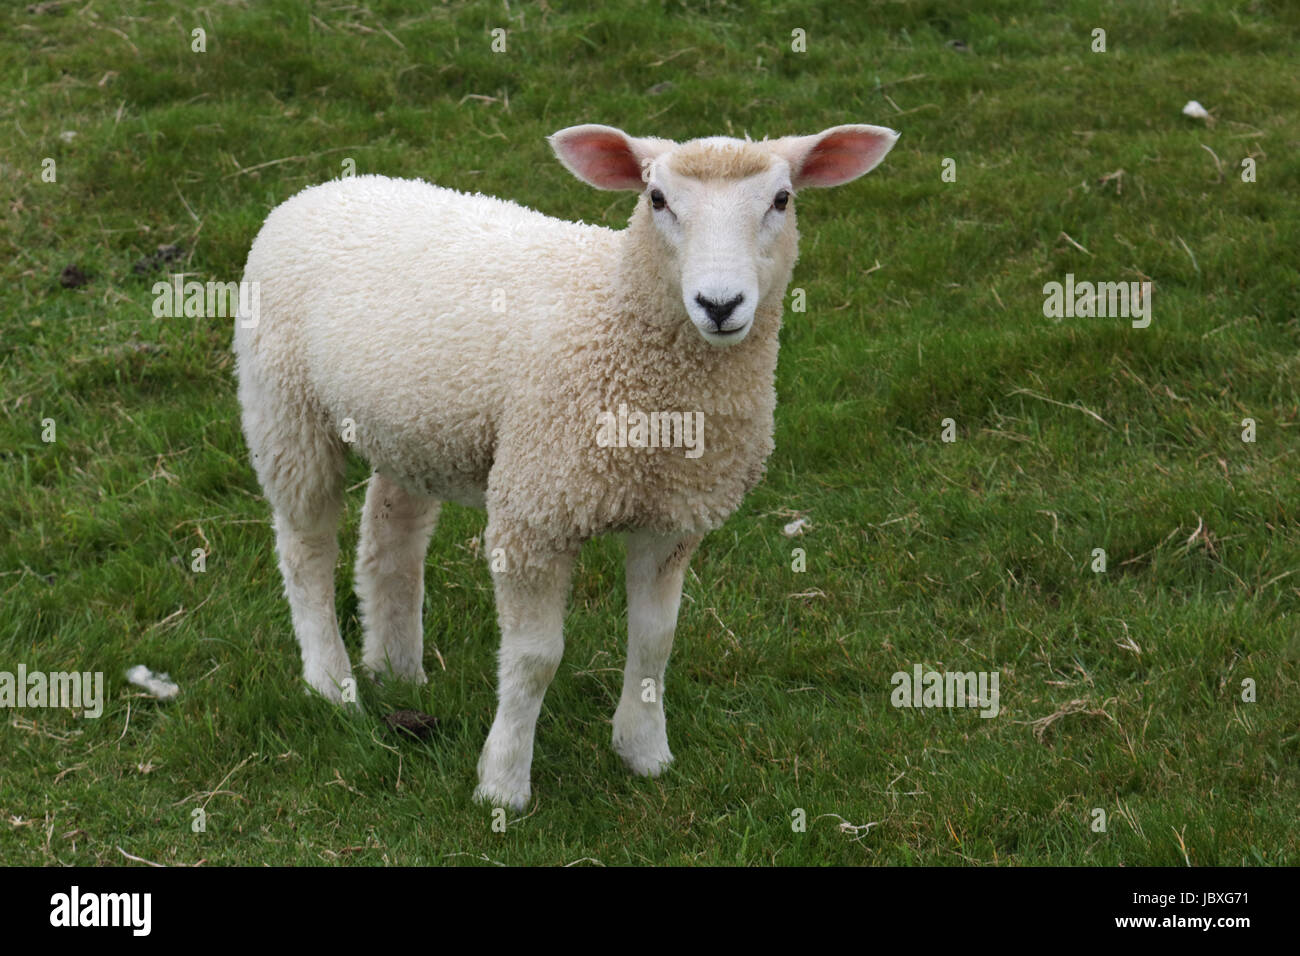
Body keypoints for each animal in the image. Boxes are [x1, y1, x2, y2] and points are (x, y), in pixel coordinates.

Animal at [233, 122, 899, 810]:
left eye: (782, 201)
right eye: (657, 199)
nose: (720, 303)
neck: (616, 318)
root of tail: (326, 188)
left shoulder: (673, 515)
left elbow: (656, 639)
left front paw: (644, 751)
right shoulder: (536, 511)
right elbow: (535, 659)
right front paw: (502, 783)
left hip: (415, 426)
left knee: (390, 536)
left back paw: (397, 670)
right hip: (283, 405)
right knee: (306, 547)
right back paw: (331, 682)